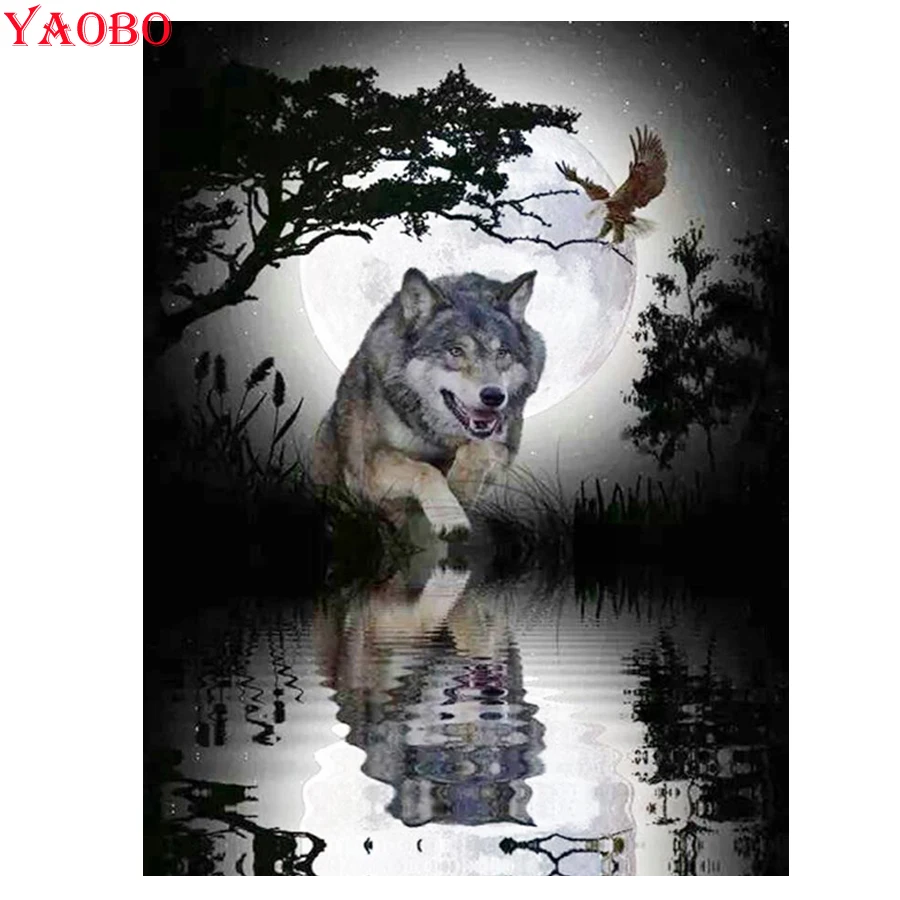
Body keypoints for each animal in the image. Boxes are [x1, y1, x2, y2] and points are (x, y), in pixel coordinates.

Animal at [312, 267, 546, 539]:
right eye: (456, 351)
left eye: (502, 353)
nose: (494, 396)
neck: (440, 438)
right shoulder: (370, 465)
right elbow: (426, 470)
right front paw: (452, 517)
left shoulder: (504, 445)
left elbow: (480, 449)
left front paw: (461, 487)